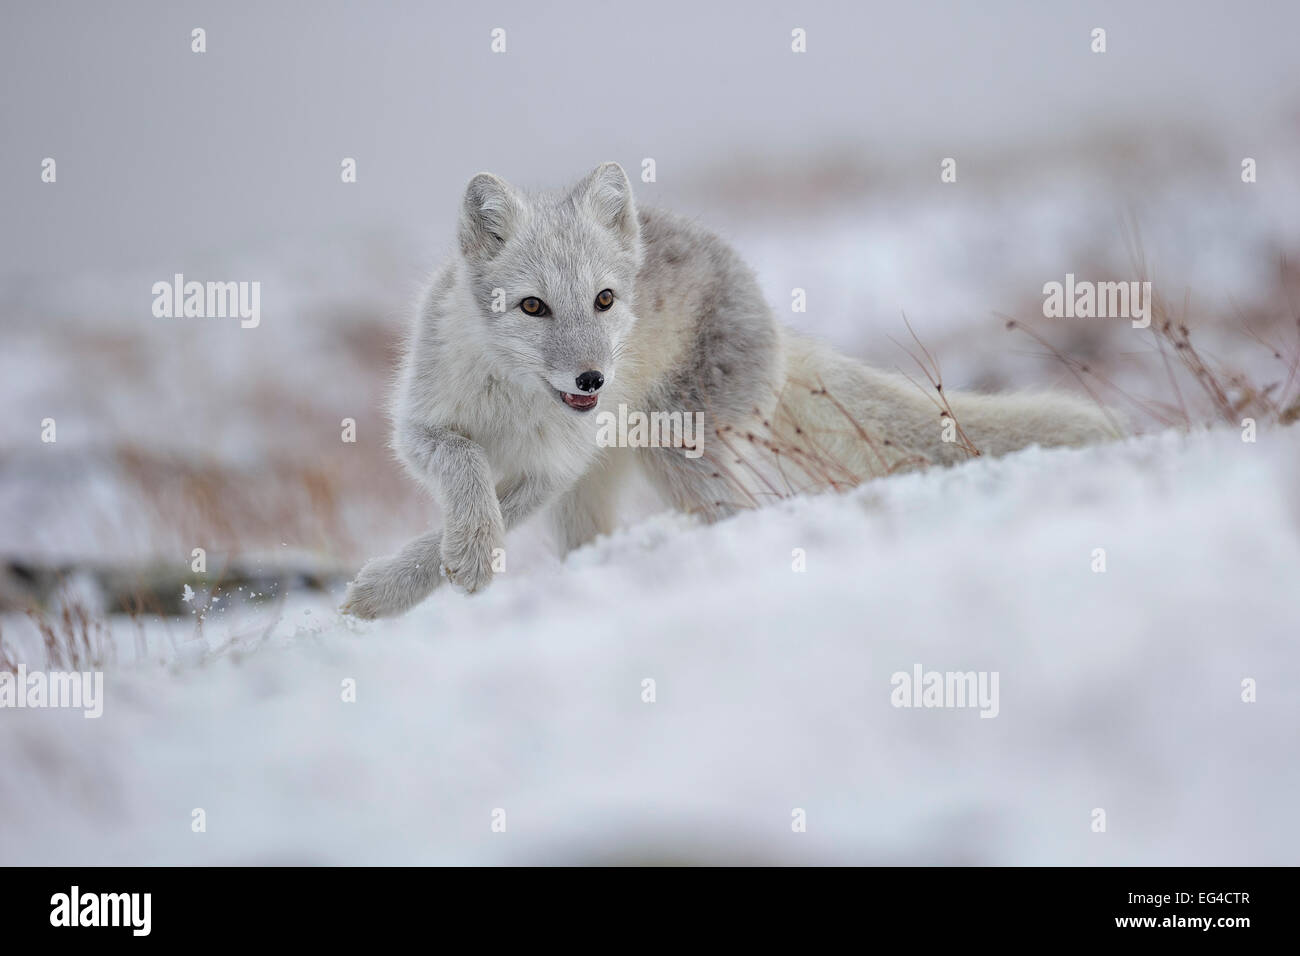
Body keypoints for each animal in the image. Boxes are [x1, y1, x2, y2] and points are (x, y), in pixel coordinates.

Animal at [341, 162, 1117, 619]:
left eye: (603, 299)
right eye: (532, 306)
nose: (594, 379)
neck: (514, 398)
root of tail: (769, 311)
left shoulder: (550, 469)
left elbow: (486, 503)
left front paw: (415, 579)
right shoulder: (423, 428)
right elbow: (466, 468)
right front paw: (455, 556)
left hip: (676, 458)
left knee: (736, 514)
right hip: (601, 488)